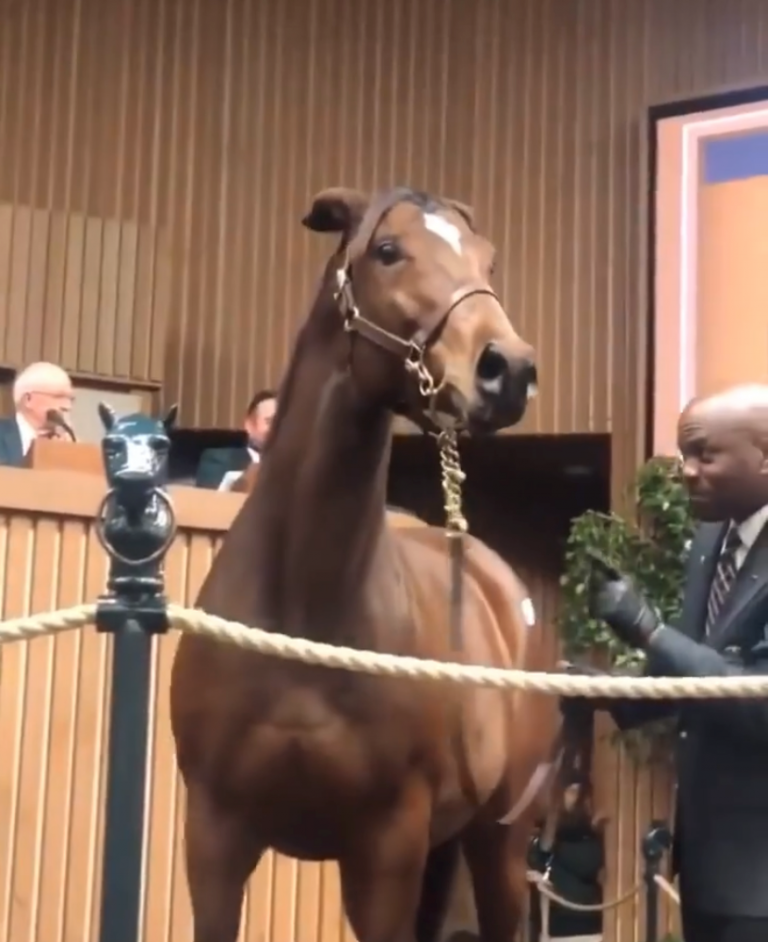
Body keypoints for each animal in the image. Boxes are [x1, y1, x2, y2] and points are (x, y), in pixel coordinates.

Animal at [170, 186, 564, 942]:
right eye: (387, 250)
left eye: (488, 260)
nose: (509, 369)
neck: (302, 618)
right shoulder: (214, 838)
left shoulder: (386, 847)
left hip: (498, 842)